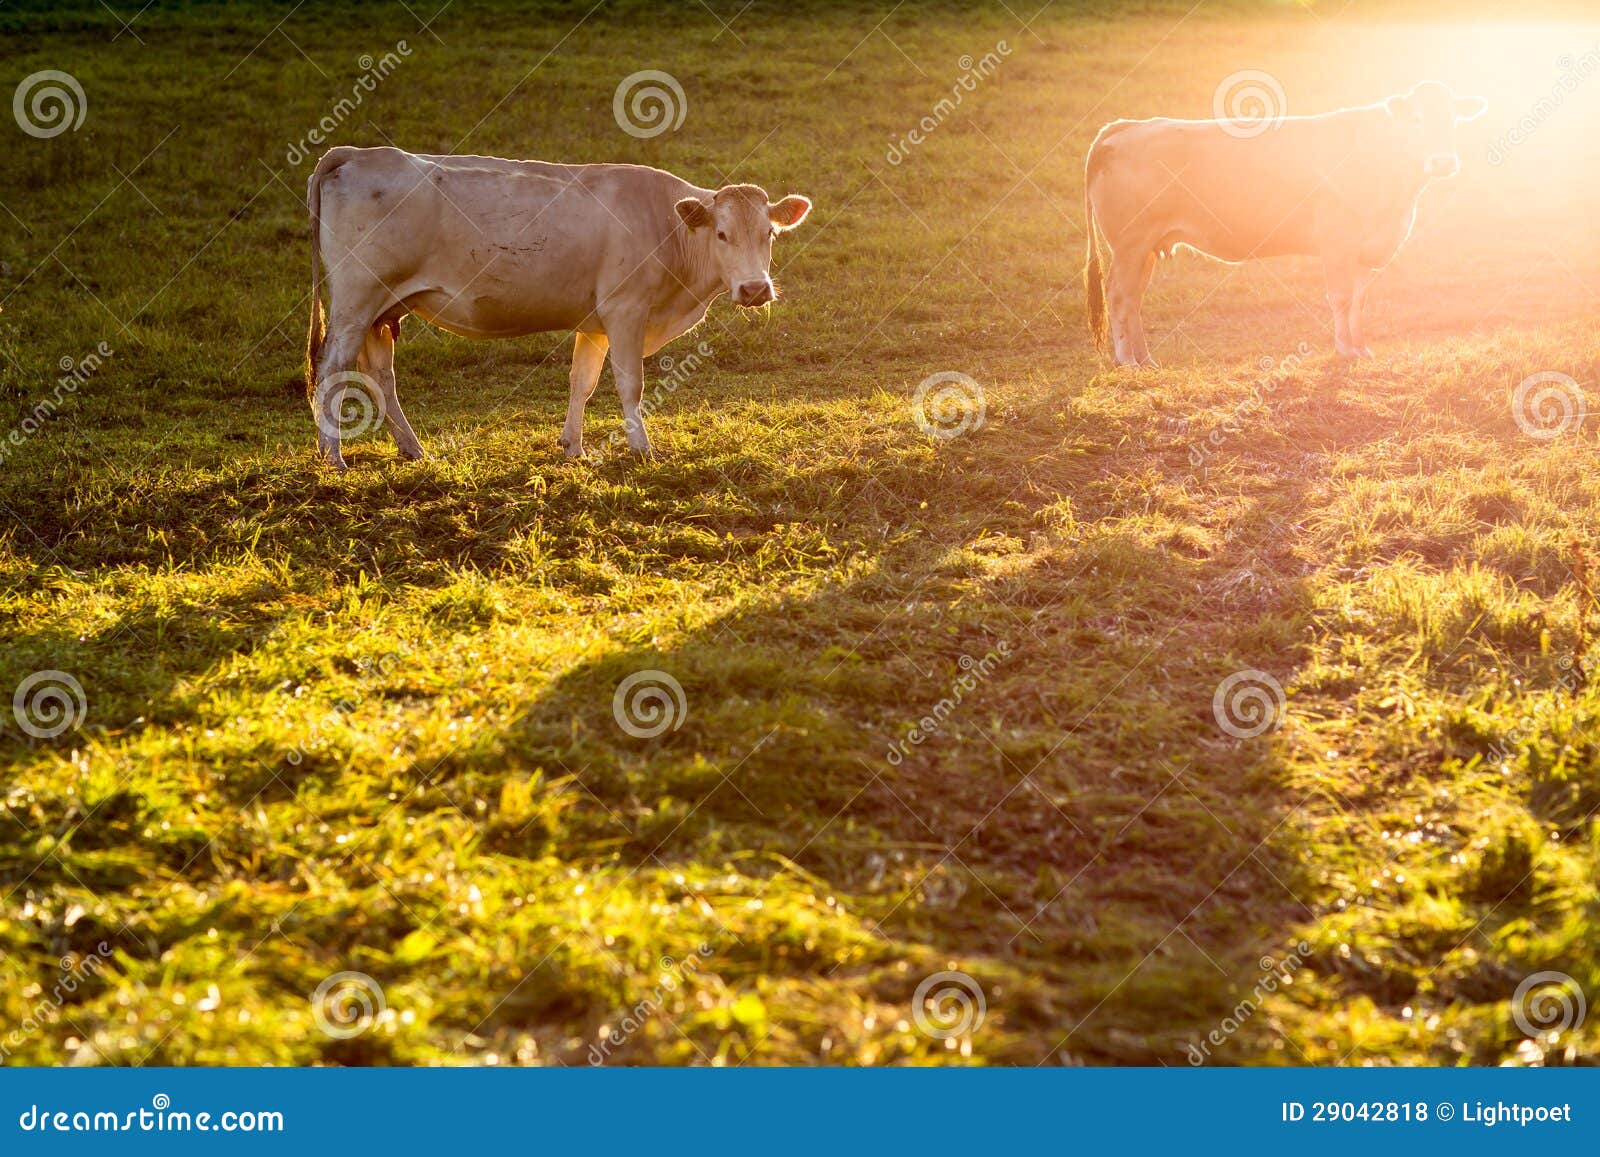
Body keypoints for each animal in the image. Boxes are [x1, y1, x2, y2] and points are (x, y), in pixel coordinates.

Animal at [303, 146, 812, 468]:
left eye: (769, 233)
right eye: (722, 234)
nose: (754, 289)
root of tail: (358, 152)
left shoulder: (595, 323)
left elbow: (581, 382)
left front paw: (573, 446)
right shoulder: (626, 310)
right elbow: (630, 384)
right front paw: (642, 448)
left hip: (381, 310)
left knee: (380, 374)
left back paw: (411, 449)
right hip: (356, 301)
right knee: (332, 370)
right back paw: (334, 457)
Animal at [1081, 81, 1487, 366]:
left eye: (1453, 119)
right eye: (1416, 120)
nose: (1443, 161)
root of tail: (1126, 127)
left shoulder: (1366, 248)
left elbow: (1359, 300)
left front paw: (1361, 349)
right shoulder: (1337, 243)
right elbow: (1340, 298)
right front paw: (1344, 349)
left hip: (1145, 248)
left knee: (1134, 298)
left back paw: (1145, 358)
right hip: (1130, 244)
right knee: (1119, 296)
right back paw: (1127, 360)